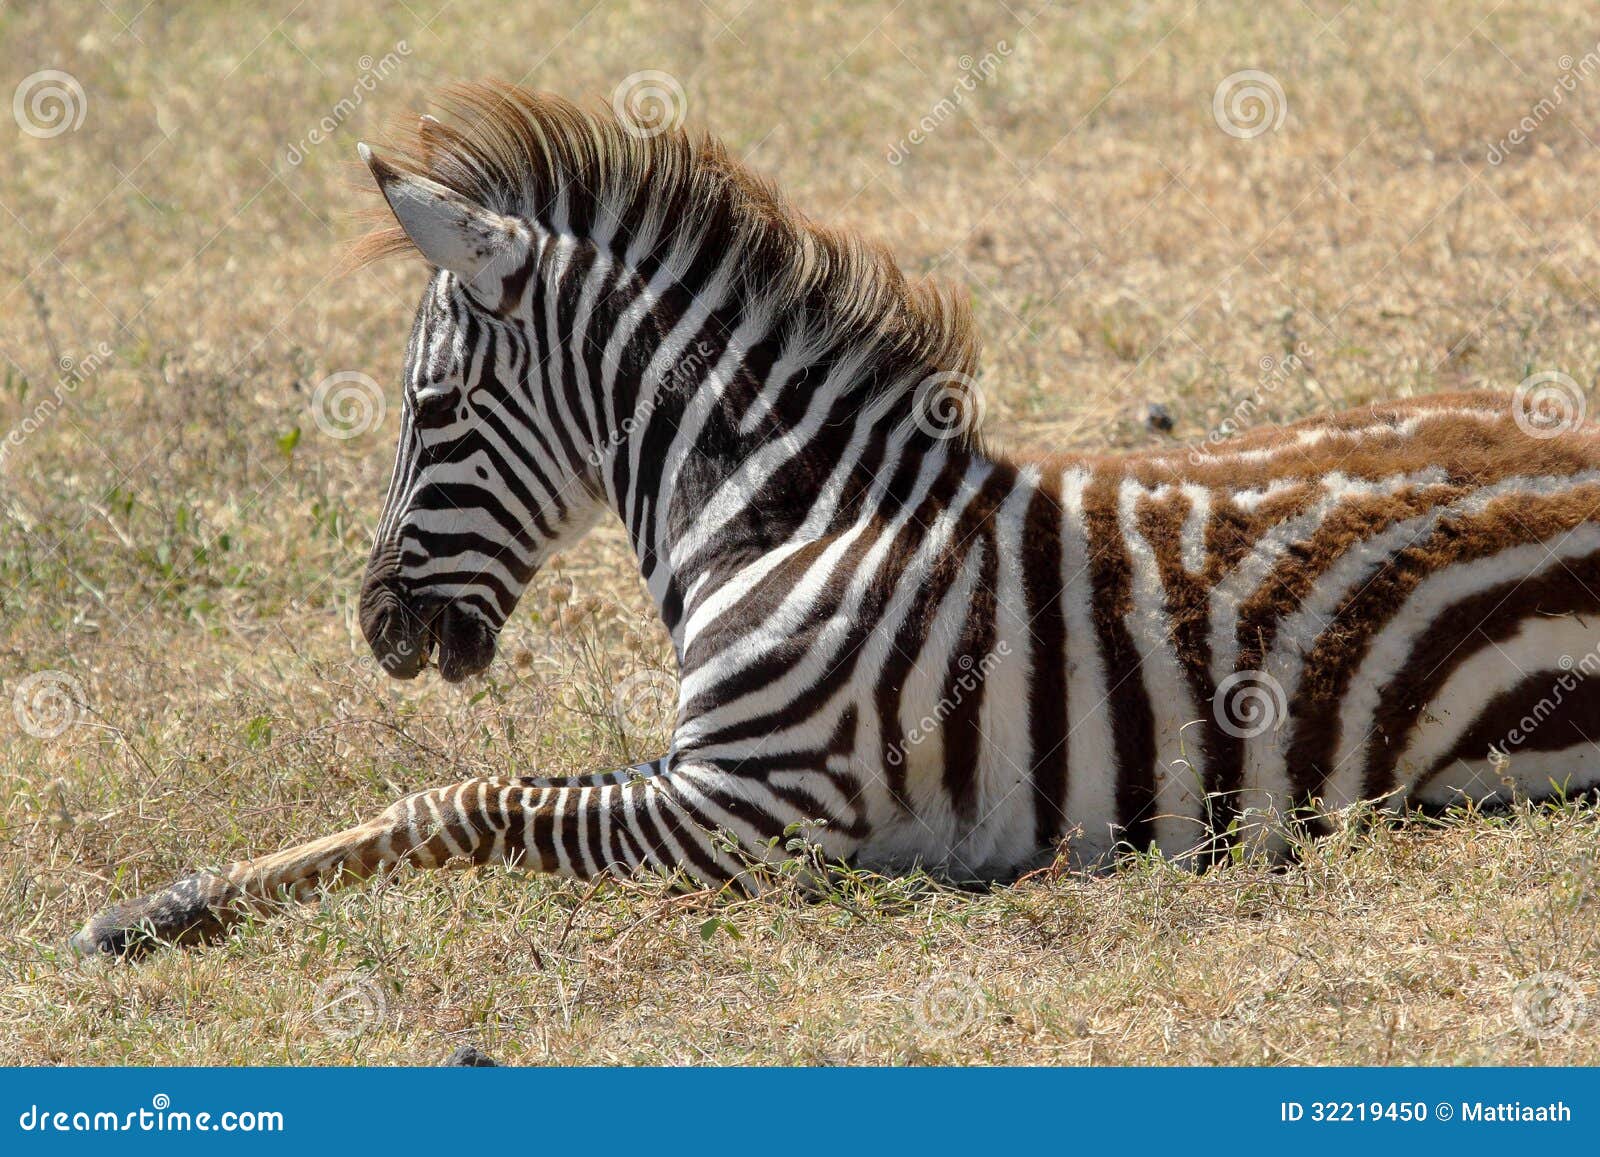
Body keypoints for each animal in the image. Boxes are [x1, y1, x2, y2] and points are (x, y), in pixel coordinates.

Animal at [73, 84, 1600, 956]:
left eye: (434, 408)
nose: (380, 628)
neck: (792, 516)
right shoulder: (700, 771)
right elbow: (450, 793)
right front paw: (169, 903)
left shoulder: (748, 810)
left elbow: (465, 801)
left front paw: (175, 910)